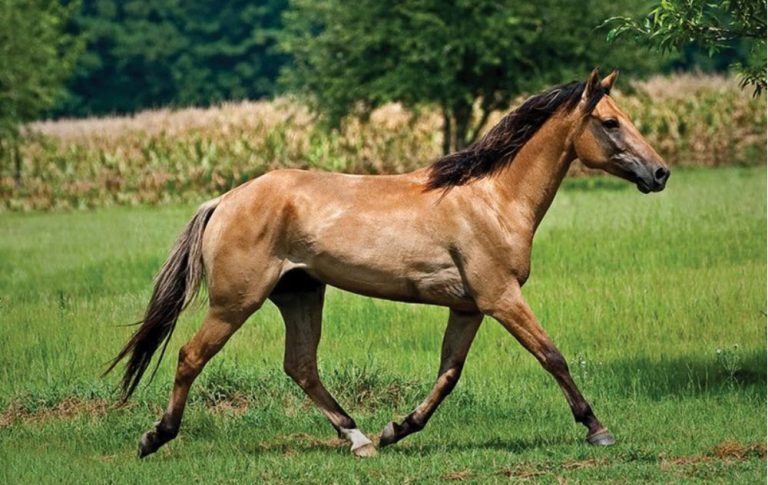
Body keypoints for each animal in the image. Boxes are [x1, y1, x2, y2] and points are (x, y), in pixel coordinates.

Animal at [106, 69, 670, 458]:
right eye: (610, 122)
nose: (660, 172)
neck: (492, 198)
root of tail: (223, 201)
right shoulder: (501, 297)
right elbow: (552, 356)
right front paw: (598, 429)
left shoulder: (469, 307)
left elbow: (448, 374)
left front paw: (397, 429)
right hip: (235, 300)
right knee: (191, 356)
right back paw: (155, 437)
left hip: (300, 293)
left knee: (301, 366)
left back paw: (360, 439)